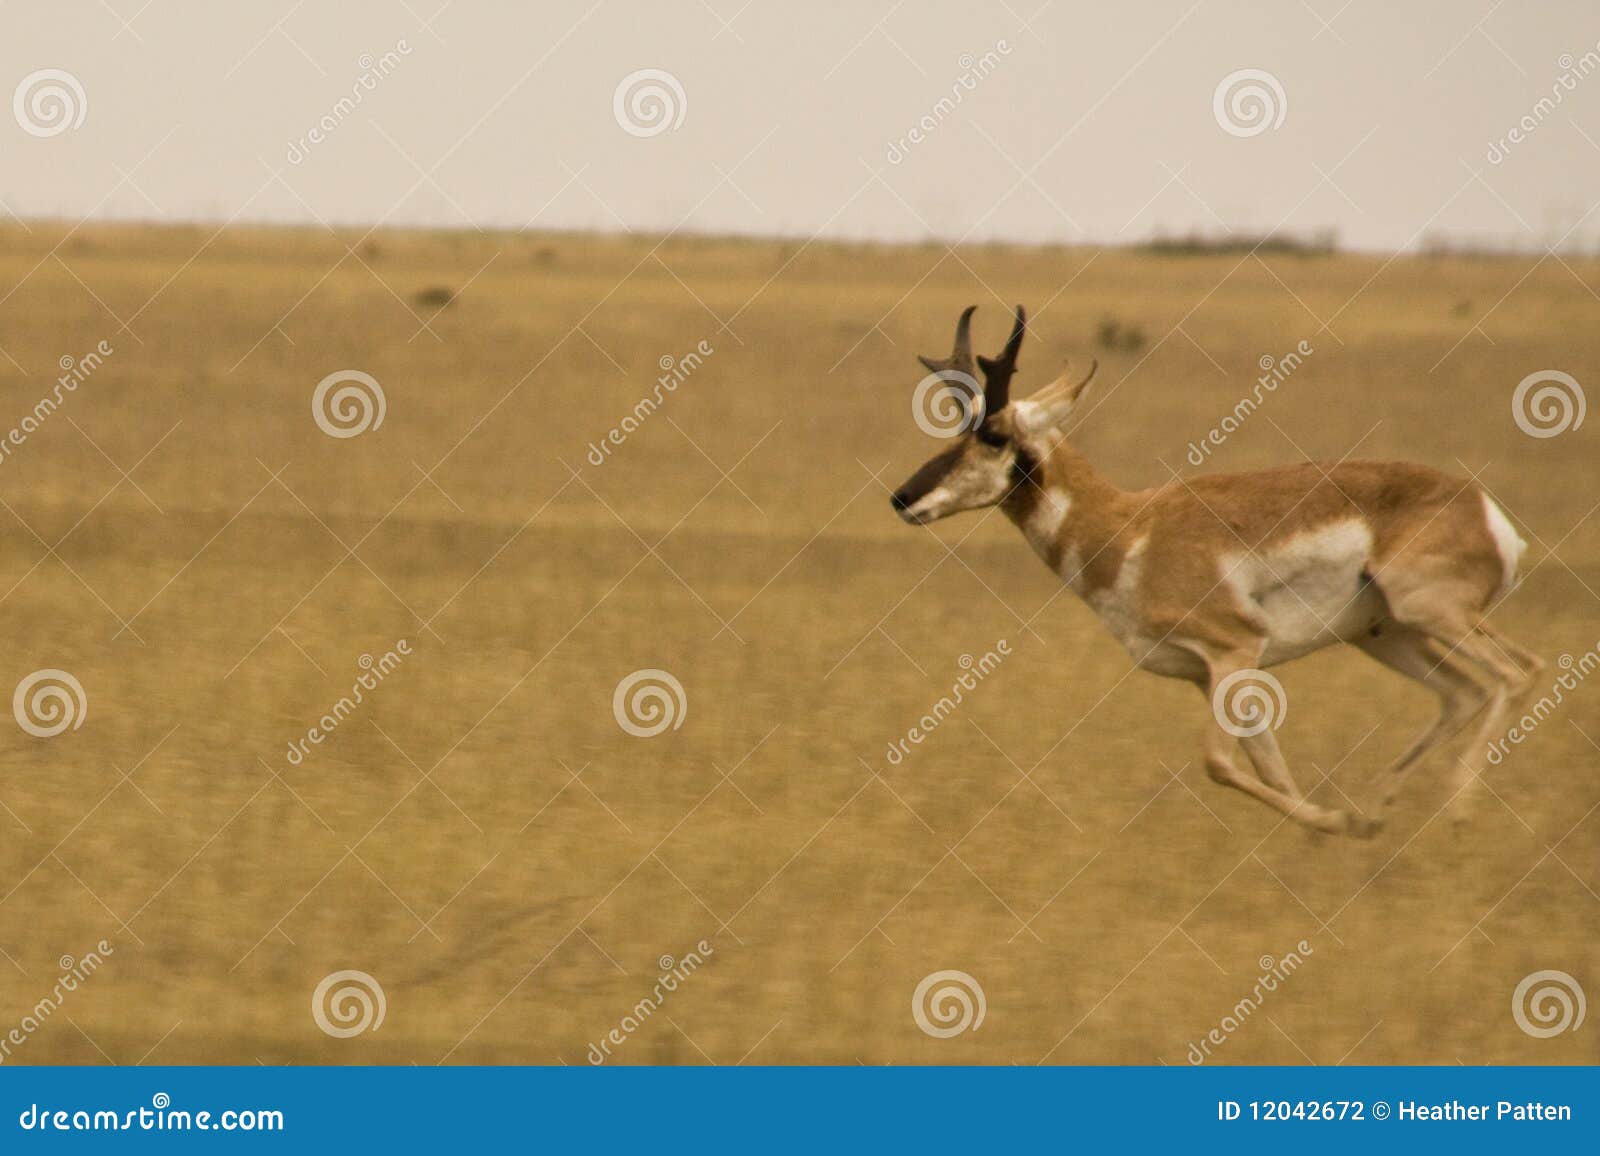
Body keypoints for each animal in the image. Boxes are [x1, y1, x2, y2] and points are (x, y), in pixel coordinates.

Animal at [890, 305, 1544, 837]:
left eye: (994, 435)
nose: (902, 499)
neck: (1131, 528)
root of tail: (1481, 507)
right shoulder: (1212, 677)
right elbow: (1272, 769)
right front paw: (1333, 830)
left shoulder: (1235, 650)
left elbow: (1218, 762)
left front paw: (1331, 823)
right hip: (1387, 635)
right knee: (1464, 692)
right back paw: (1374, 810)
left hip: (1430, 613)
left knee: (1518, 673)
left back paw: (1454, 814)